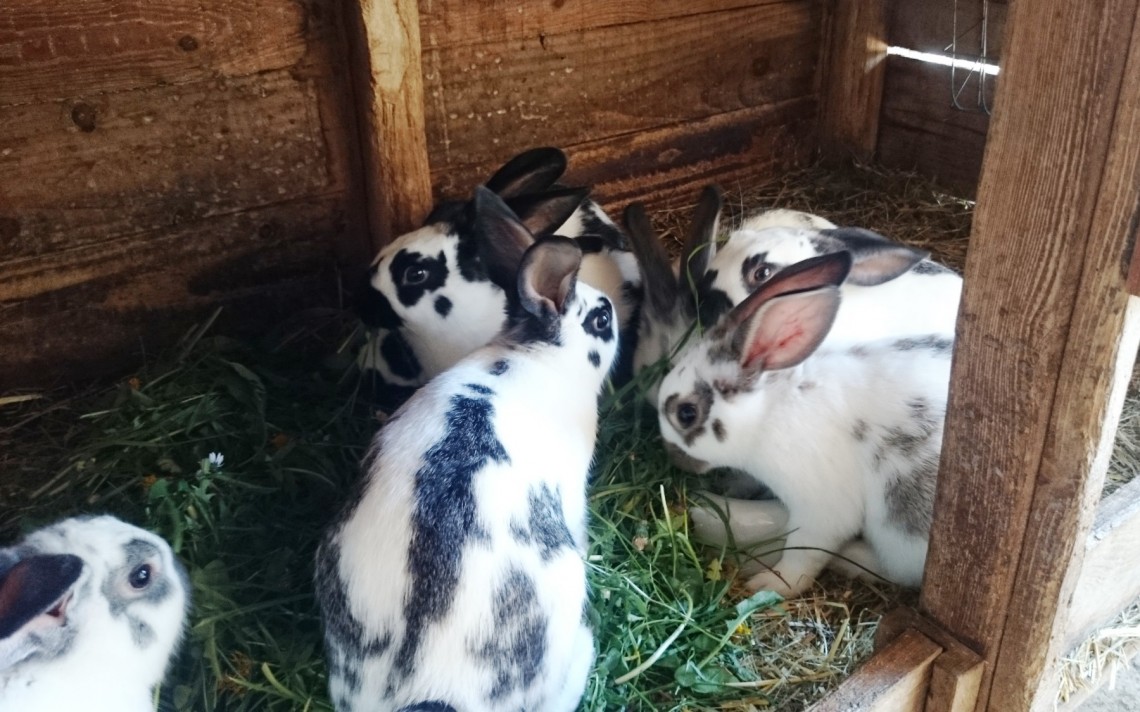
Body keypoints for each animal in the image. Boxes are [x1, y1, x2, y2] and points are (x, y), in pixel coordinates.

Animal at [655, 251, 952, 597]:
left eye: (686, 413)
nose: (674, 458)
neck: (768, 412)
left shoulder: (820, 508)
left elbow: (804, 551)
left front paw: (771, 583)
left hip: (899, 533)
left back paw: (852, 557)